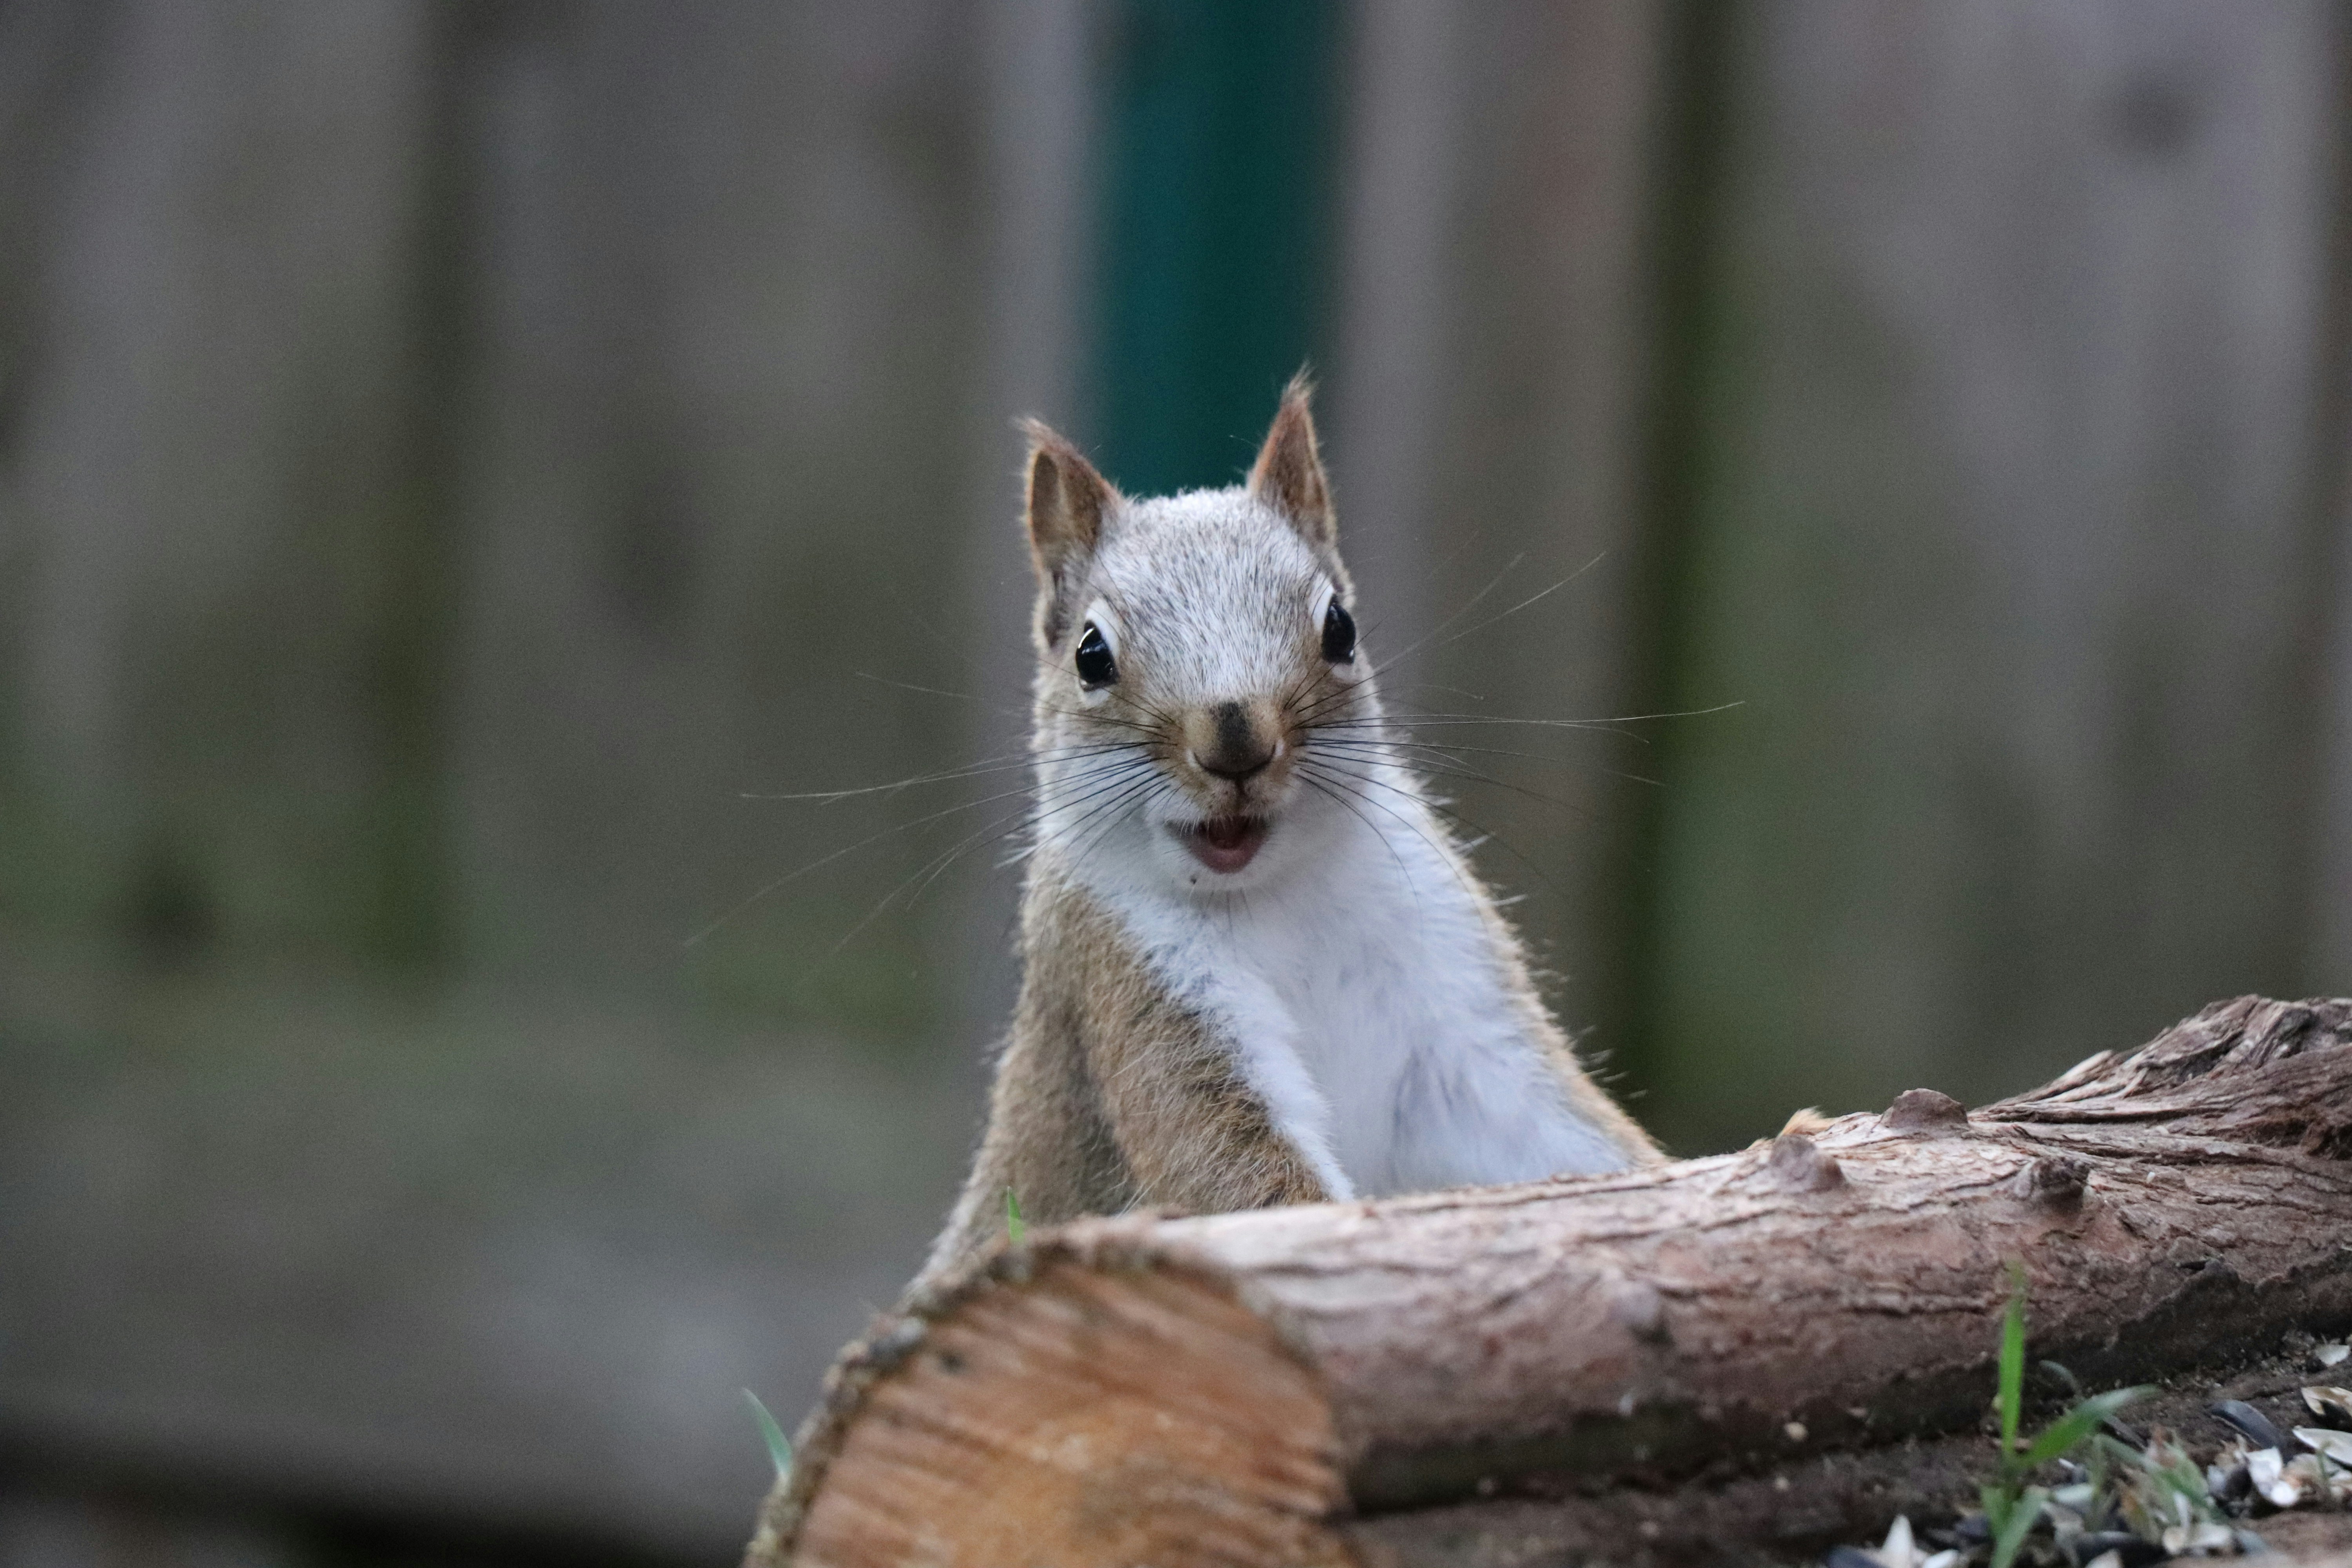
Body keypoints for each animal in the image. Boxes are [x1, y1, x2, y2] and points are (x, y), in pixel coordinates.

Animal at [921, 375, 1660, 1280]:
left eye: (1341, 626)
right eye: (1091, 654)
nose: (1237, 742)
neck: (1276, 896)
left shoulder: (1453, 1003)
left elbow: (1535, 1120)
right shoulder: (1127, 982)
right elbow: (1229, 1167)